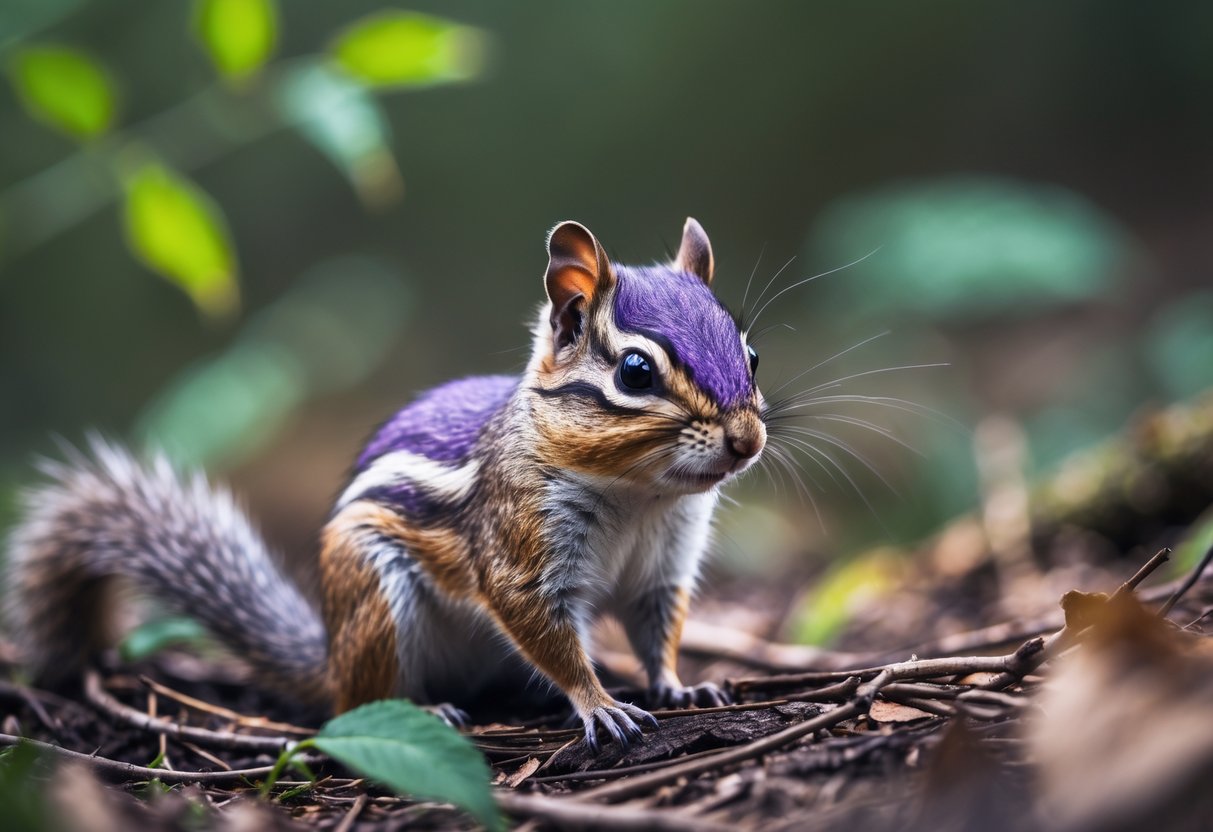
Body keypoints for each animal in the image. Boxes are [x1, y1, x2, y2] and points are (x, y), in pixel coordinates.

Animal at [4, 218, 767, 749]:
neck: (642, 495)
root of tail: (329, 657)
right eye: (635, 373)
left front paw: (678, 686)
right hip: (374, 596)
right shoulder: (521, 548)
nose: (746, 440)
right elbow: (543, 630)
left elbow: (657, 630)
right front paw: (600, 703)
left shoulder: (663, 566)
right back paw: (428, 705)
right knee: (361, 700)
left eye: (751, 354)